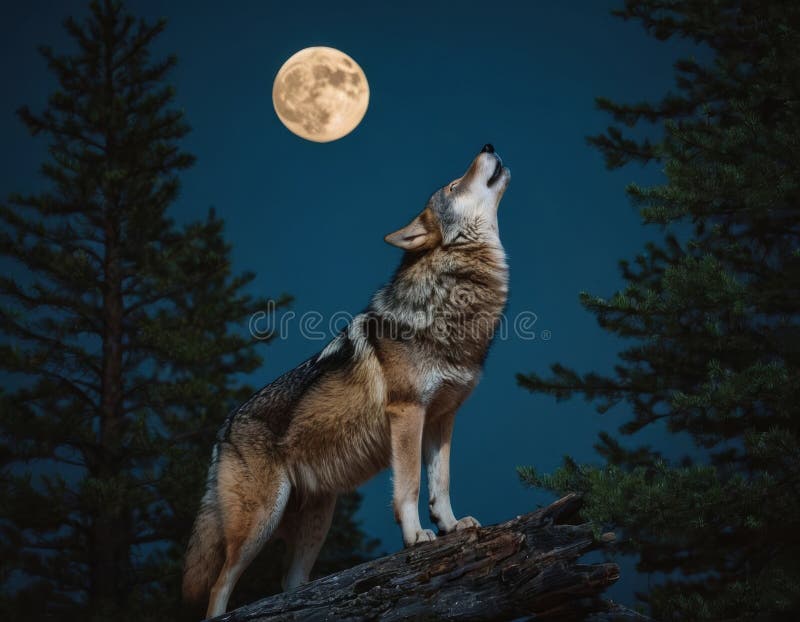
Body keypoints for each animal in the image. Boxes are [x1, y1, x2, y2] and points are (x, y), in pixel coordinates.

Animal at [183, 144, 510, 618]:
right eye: (453, 185)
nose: (487, 146)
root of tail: (224, 429)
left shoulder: (441, 418)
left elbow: (441, 483)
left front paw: (451, 526)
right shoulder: (407, 413)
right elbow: (410, 486)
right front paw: (416, 537)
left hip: (317, 521)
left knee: (292, 584)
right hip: (259, 523)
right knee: (218, 587)